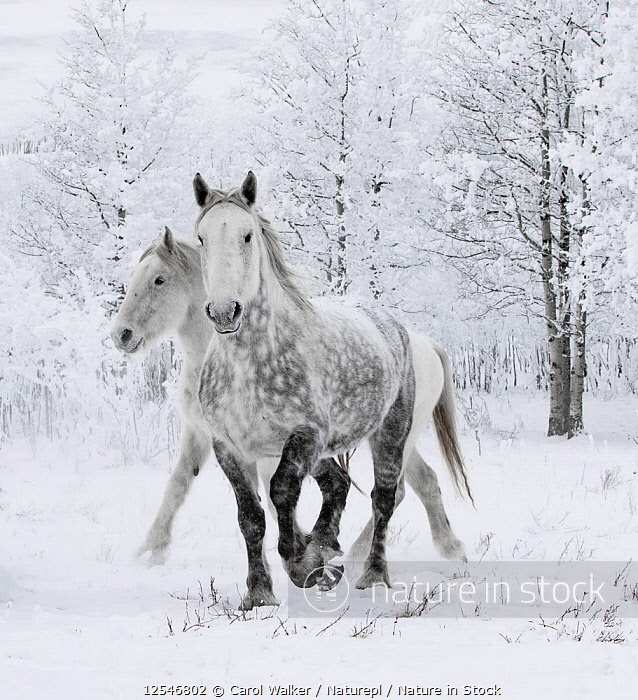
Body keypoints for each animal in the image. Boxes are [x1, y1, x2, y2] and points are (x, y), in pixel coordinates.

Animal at [193, 171, 472, 608]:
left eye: (247, 235)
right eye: (202, 238)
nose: (224, 312)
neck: (248, 366)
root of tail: (402, 329)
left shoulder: (305, 436)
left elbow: (282, 493)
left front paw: (303, 562)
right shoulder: (230, 448)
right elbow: (251, 517)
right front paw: (260, 593)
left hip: (391, 434)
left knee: (385, 496)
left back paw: (372, 573)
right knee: (340, 485)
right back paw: (335, 552)